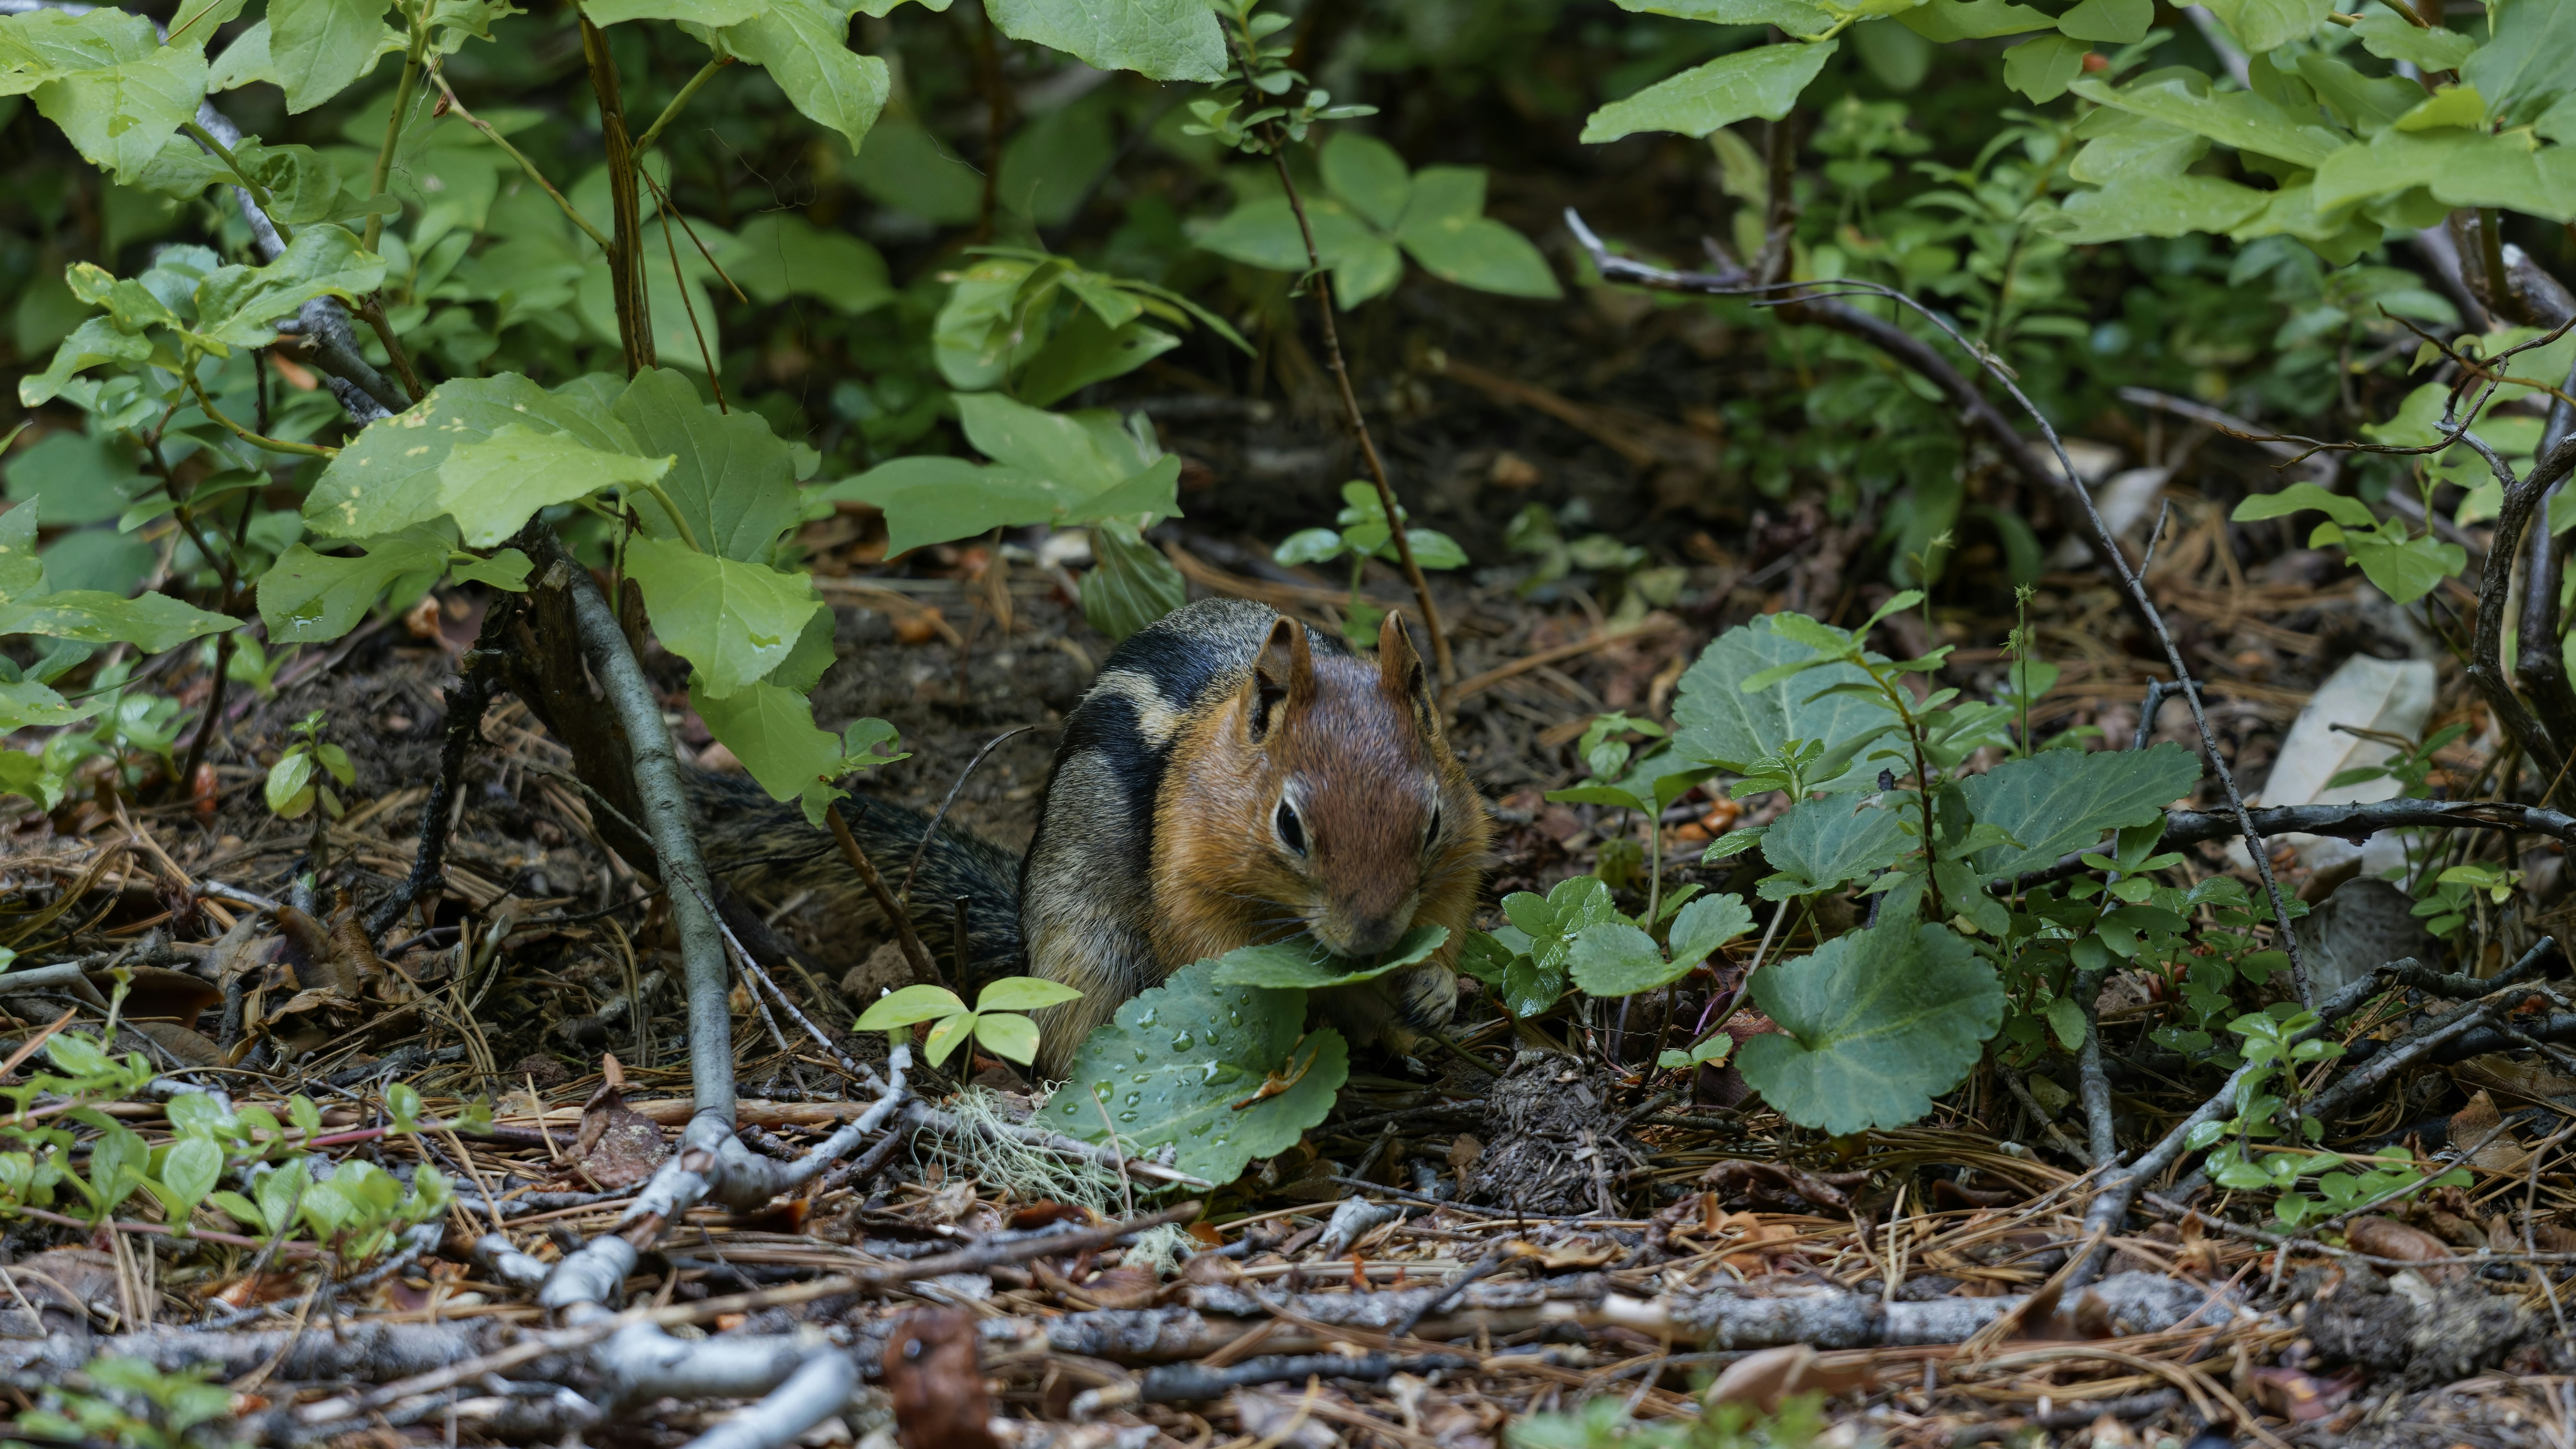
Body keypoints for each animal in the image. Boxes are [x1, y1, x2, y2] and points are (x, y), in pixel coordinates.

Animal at [694, 596, 1491, 1079]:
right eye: (1289, 825)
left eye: (1431, 822)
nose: (1372, 938)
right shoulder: (1188, 872)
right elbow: (1209, 950)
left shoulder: (1461, 851)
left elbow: (1450, 917)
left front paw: (1431, 987)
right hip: (1087, 957)